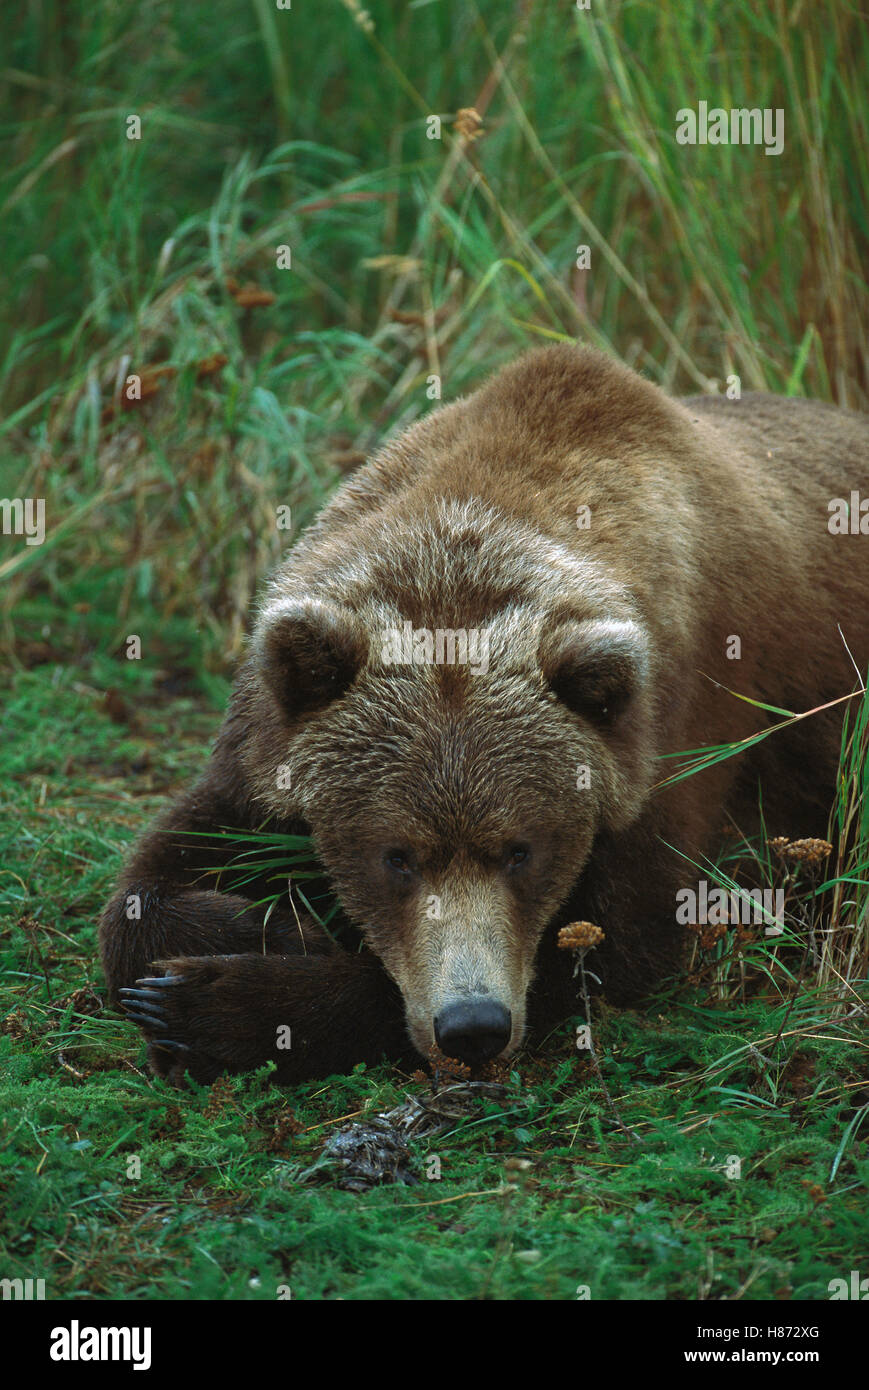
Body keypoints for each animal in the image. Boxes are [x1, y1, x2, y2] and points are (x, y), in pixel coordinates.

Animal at [100, 343, 869, 1085]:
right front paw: (272, 930)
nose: (472, 1026)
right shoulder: (266, 741)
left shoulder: (675, 737)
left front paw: (216, 1005)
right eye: (396, 855)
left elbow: (617, 942)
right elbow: (155, 881)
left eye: (520, 850)